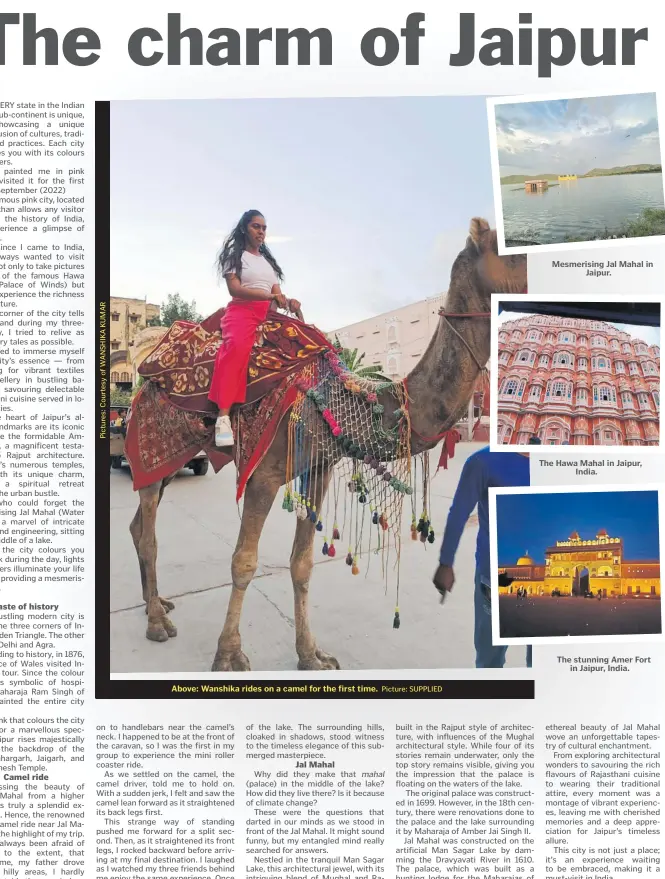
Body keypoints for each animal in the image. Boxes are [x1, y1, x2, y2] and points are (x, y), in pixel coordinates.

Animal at [128, 217, 524, 672]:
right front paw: (228, 656)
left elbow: (302, 564)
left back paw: (158, 604)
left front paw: (311, 655)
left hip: (172, 458)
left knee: (139, 526)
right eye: (511, 253)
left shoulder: (319, 469)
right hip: (154, 442)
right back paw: (156, 622)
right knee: (150, 532)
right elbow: (243, 562)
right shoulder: (263, 474)